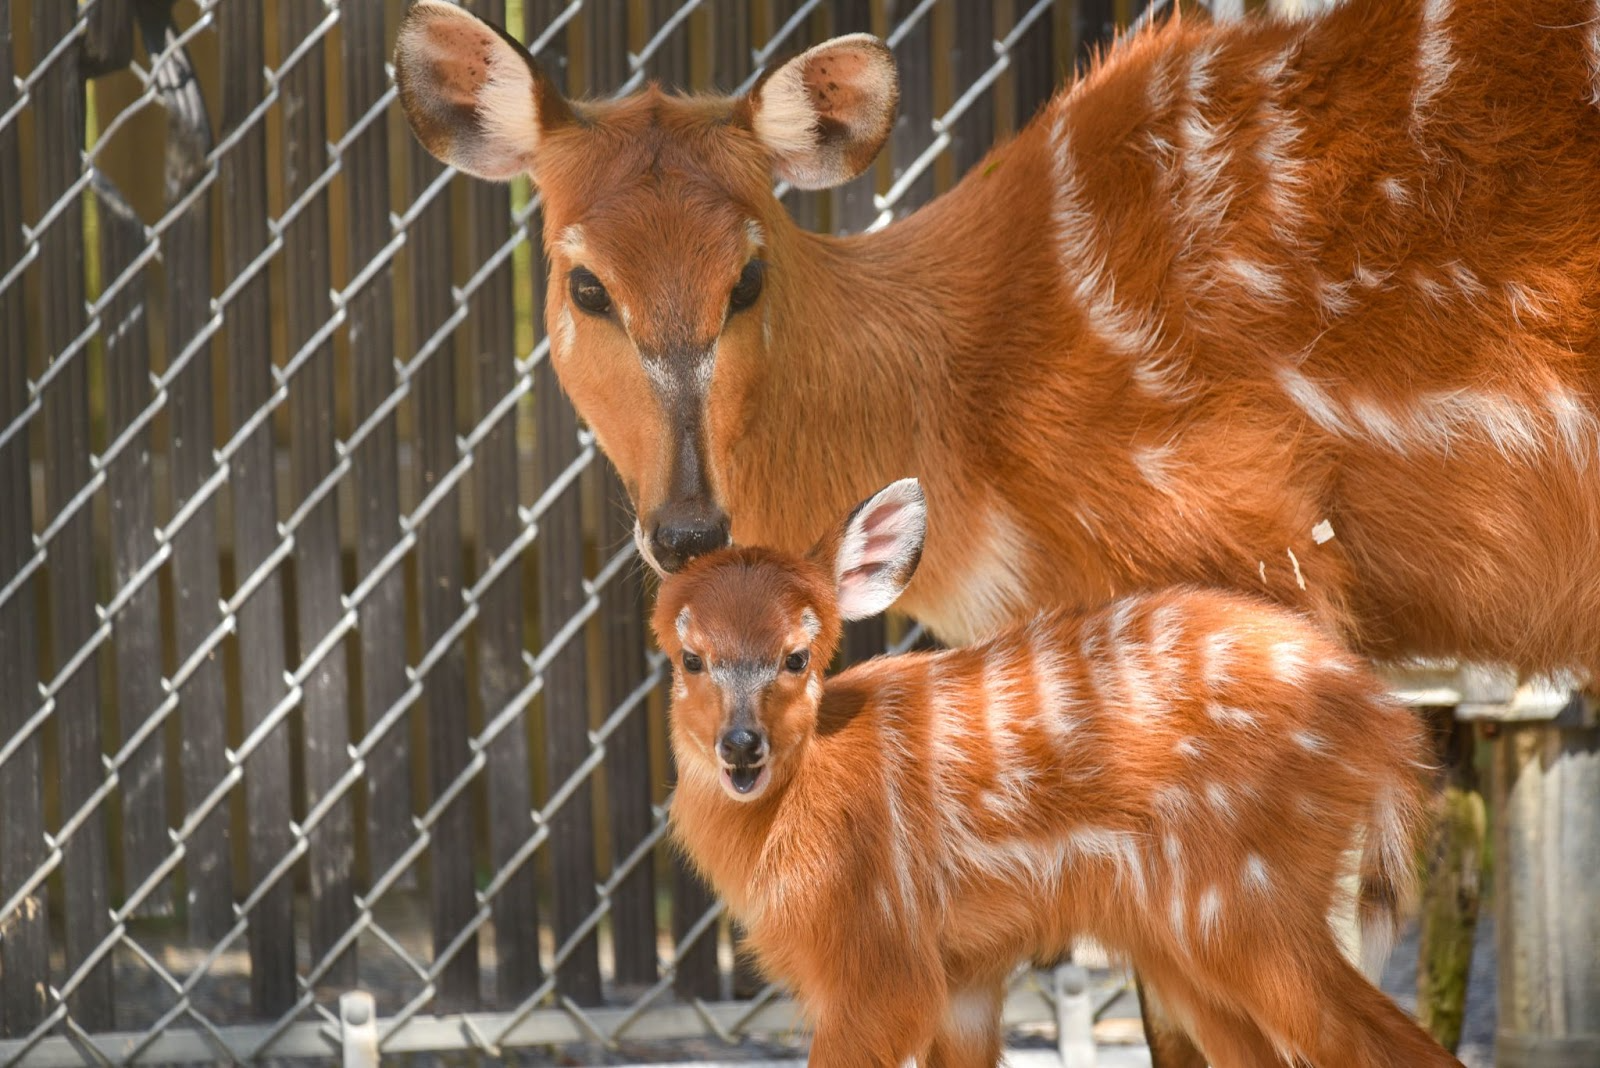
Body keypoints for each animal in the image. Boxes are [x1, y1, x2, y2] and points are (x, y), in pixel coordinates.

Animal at [654, 478, 1458, 1068]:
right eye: (690, 656)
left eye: (797, 655)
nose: (741, 747)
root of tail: (1385, 725)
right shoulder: (963, 977)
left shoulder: (880, 959)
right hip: (1183, 944)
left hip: (1243, 903)